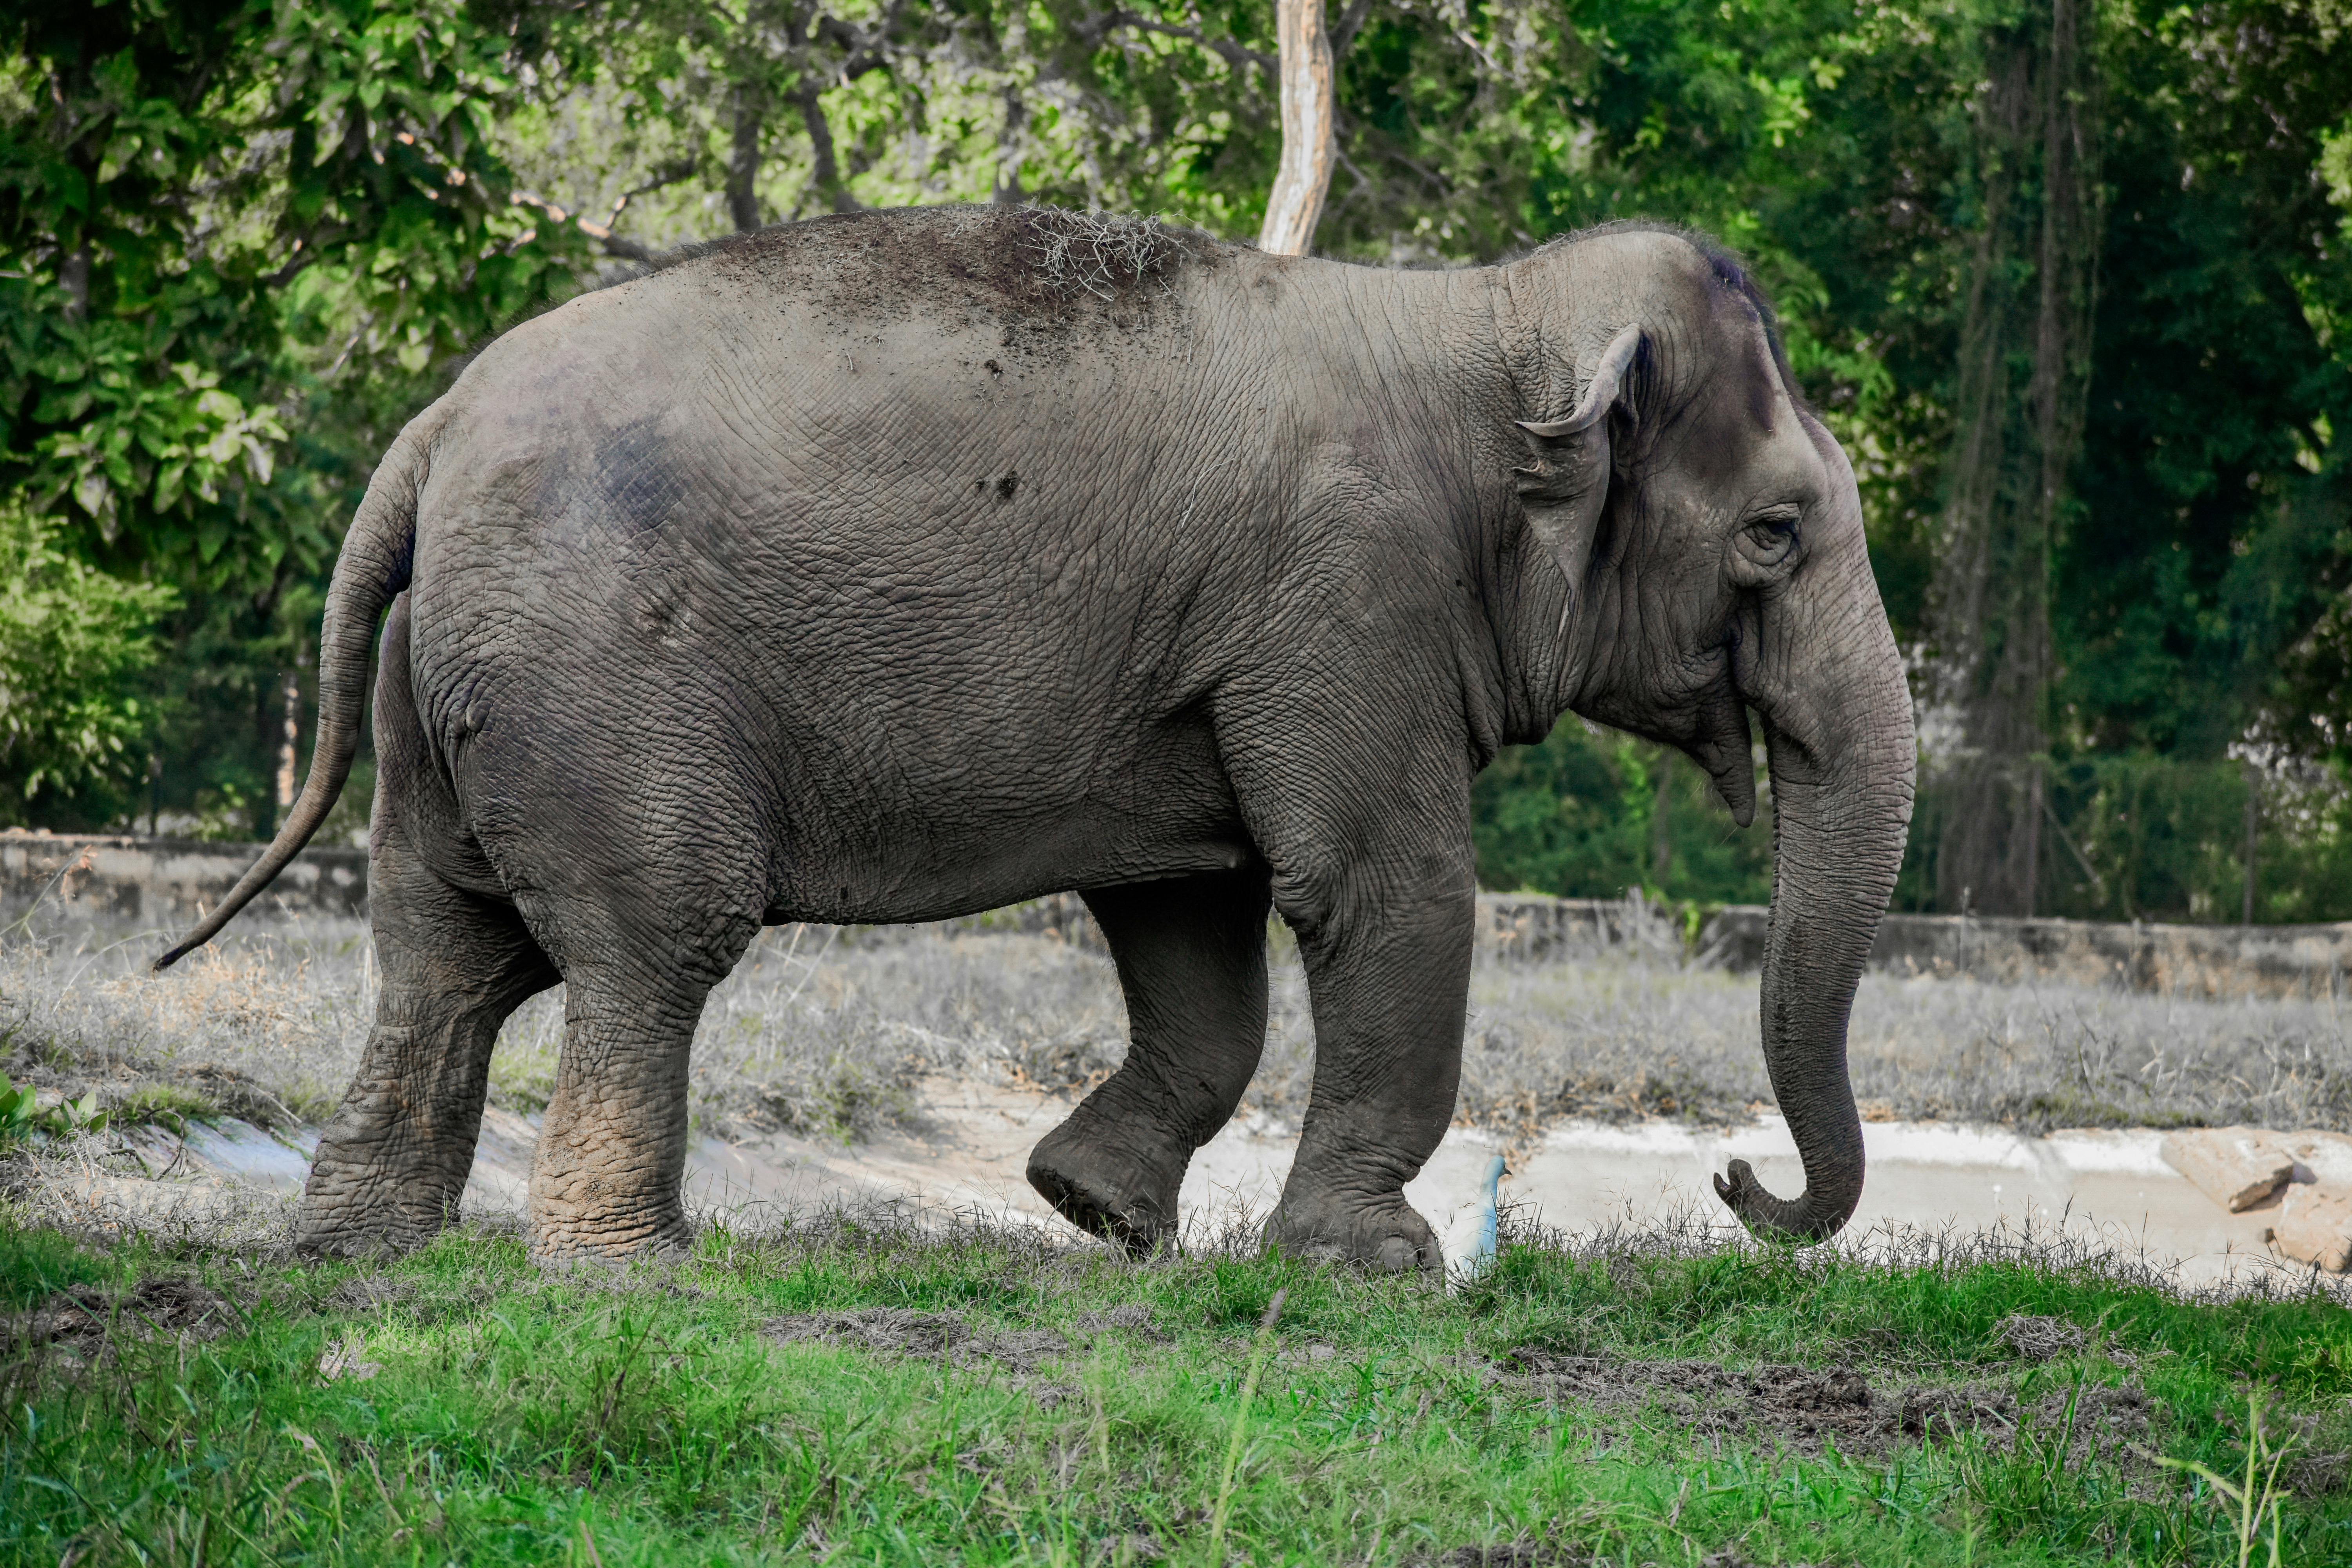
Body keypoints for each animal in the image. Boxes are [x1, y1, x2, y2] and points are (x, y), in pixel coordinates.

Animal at [157, 205, 1915, 1268]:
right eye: (1774, 534)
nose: (1735, 1180)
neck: (1485, 316)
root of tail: (431, 432)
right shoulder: (1350, 602)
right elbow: (1384, 892)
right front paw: (1376, 1272)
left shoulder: (1222, 657)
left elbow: (1195, 925)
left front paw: (1096, 1215)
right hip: (600, 678)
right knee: (647, 942)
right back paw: (627, 1275)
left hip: (447, 692)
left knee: (442, 948)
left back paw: (365, 1253)